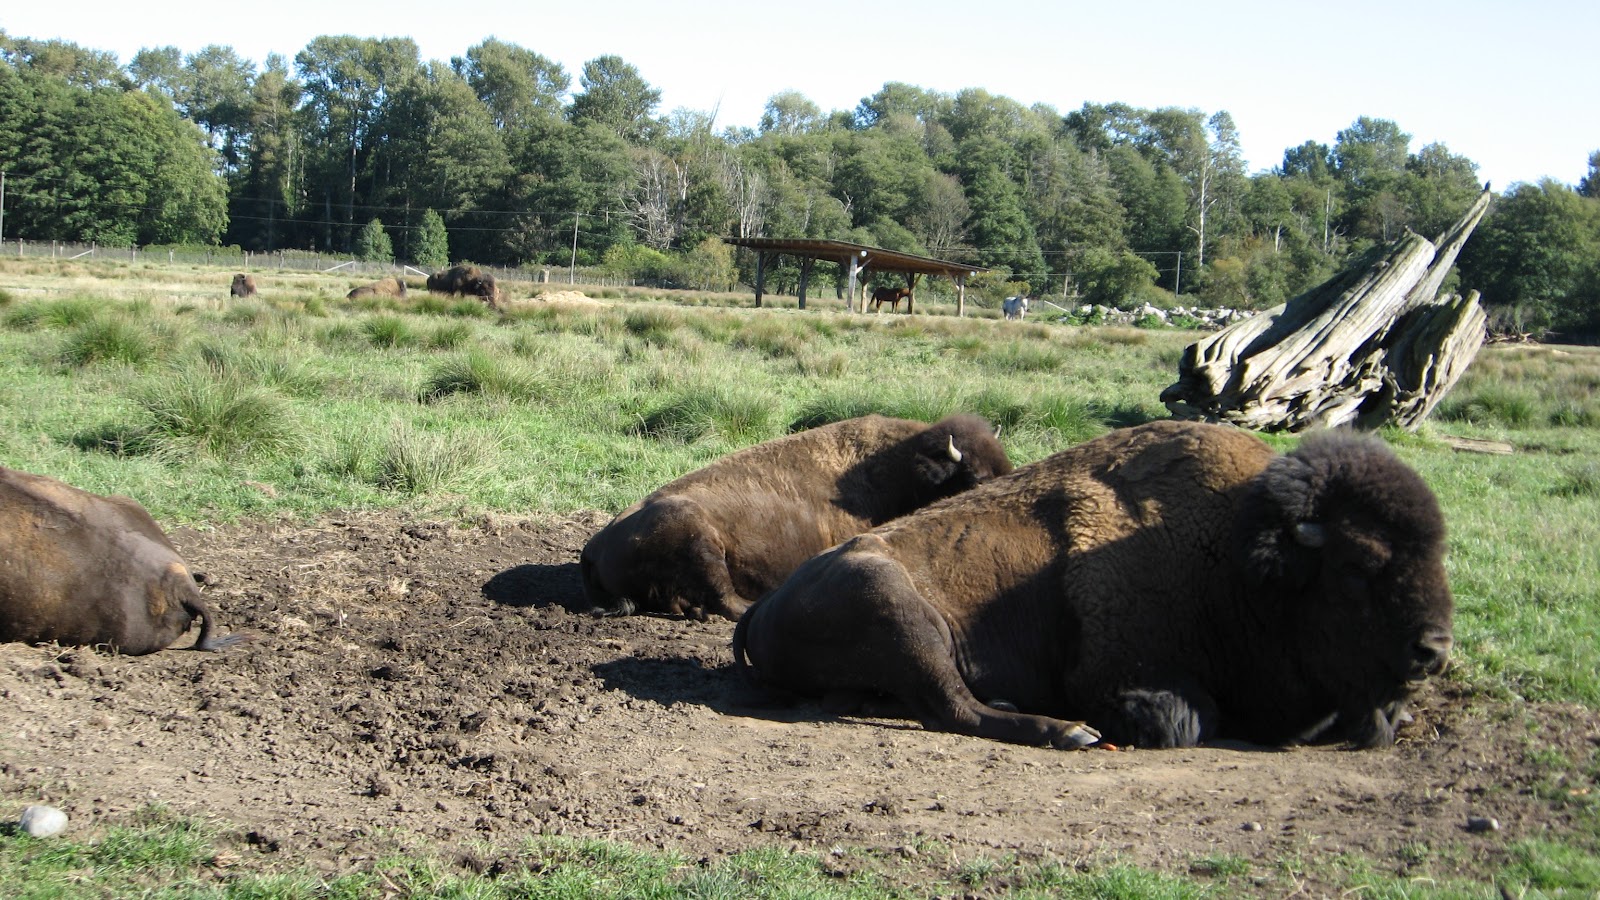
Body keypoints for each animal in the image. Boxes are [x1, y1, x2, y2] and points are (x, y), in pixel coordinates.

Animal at [733, 420, 1453, 750]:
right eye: (1357, 567)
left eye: (1438, 550)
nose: (1434, 649)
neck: (1239, 554)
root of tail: (760, 609)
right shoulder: (1130, 676)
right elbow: (1182, 720)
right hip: (895, 603)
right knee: (955, 706)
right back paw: (1070, 732)